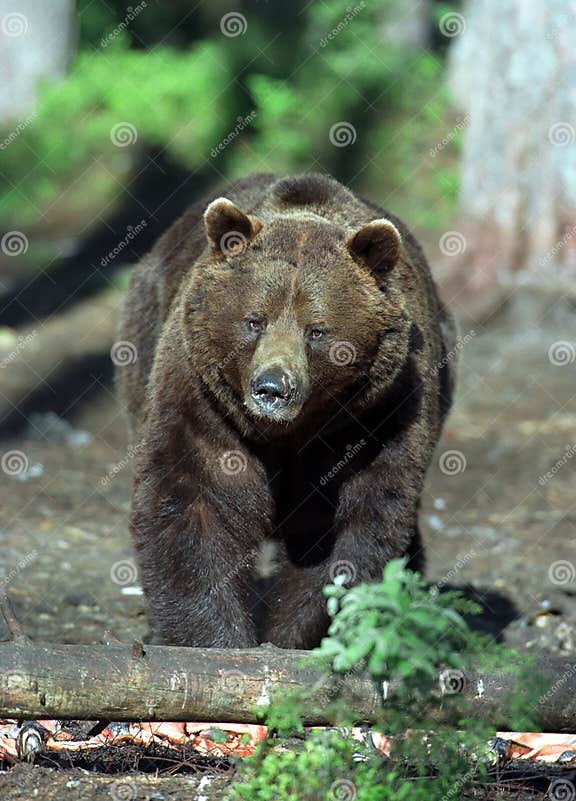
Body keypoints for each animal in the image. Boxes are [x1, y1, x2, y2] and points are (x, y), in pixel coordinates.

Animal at [117, 172, 456, 650]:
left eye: (317, 330)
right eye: (253, 320)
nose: (272, 388)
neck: (288, 432)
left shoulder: (376, 414)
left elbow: (346, 524)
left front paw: (291, 636)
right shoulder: (203, 396)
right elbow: (195, 496)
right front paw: (211, 638)